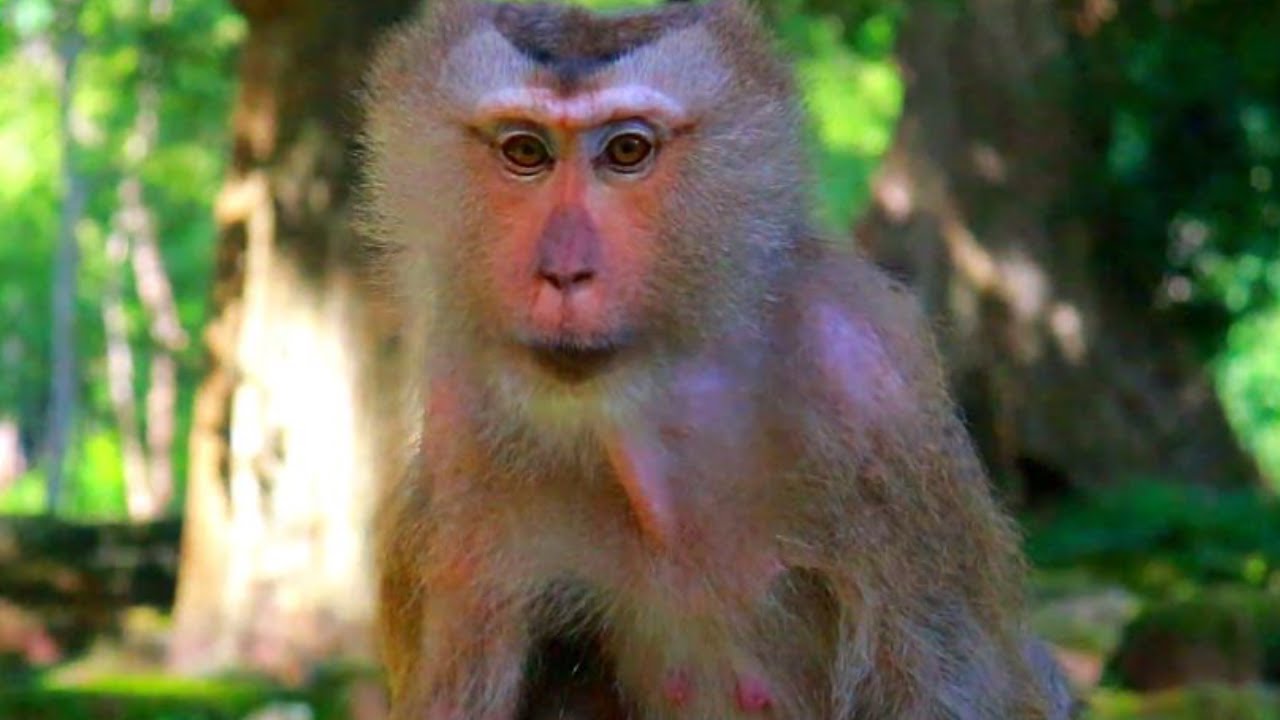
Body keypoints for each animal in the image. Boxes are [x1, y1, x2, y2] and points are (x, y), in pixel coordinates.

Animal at [359, 0, 1076, 718]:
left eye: (627, 151)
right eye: (524, 152)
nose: (564, 272)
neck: (657, 401)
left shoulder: (870, 388)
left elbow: (947, 689)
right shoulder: (460, 419)